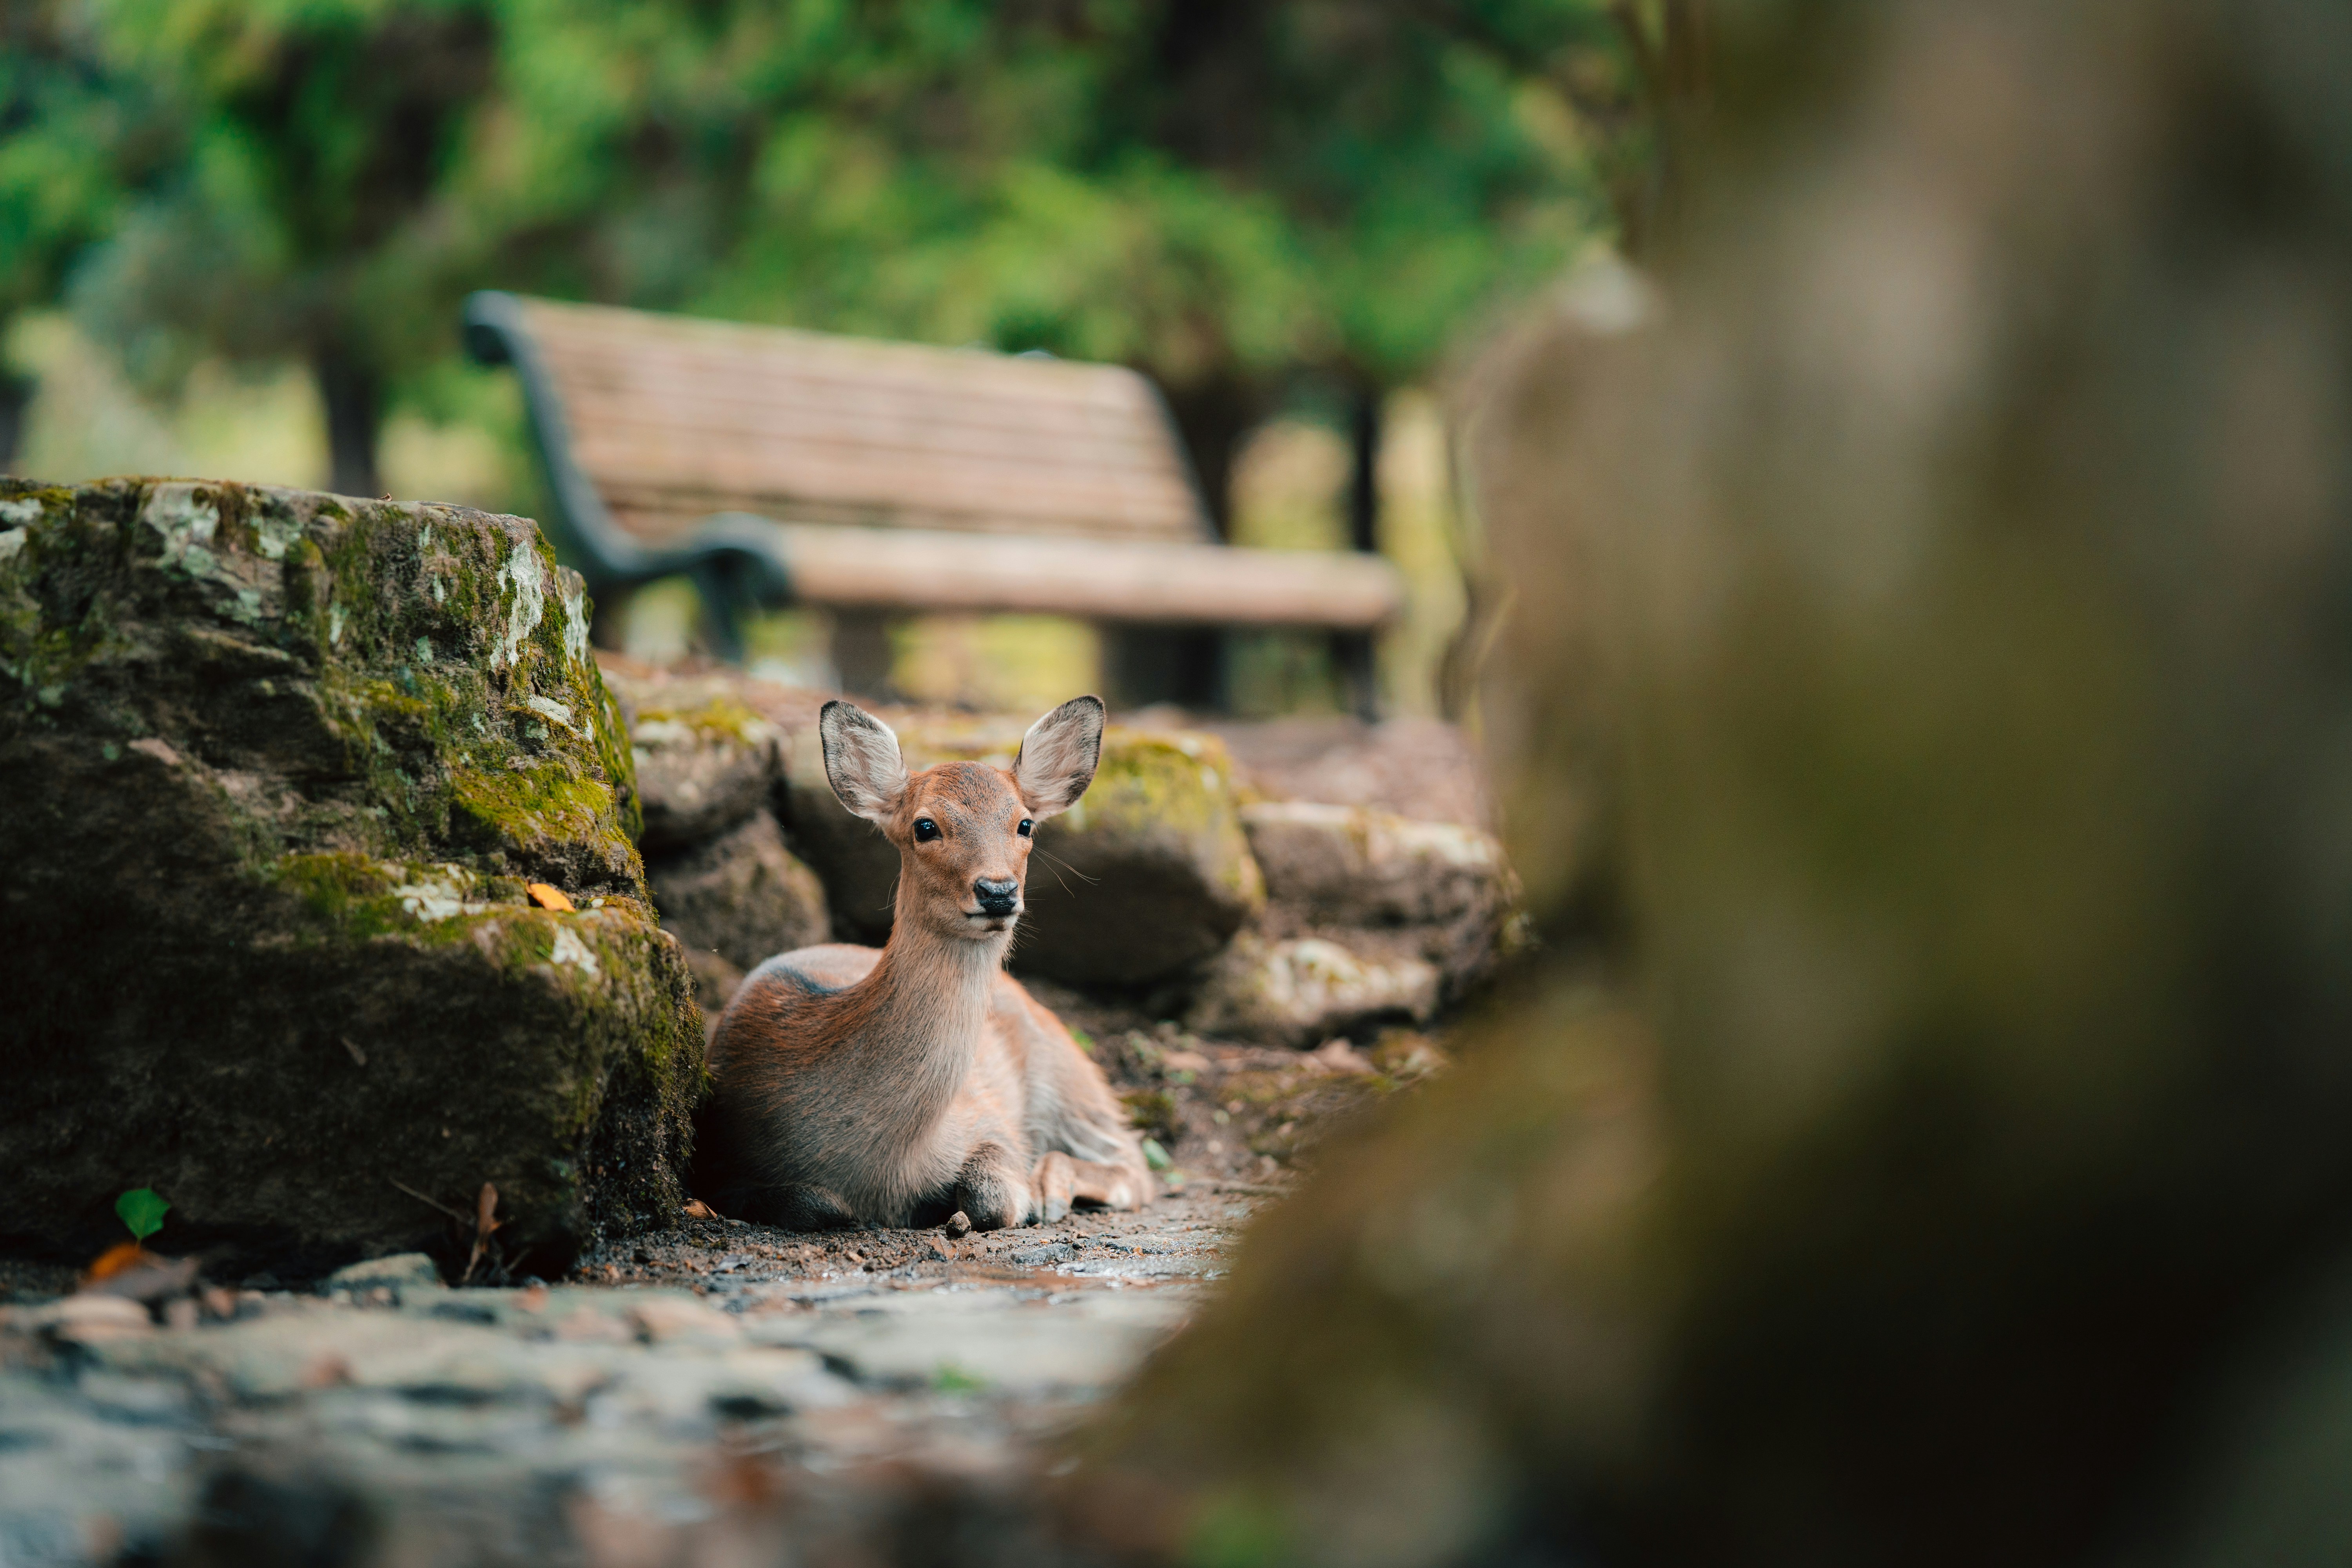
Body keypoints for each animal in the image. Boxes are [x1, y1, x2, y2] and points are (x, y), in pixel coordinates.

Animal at [693, 695, 1154, 1231]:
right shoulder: (720, 1162)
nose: (998, 891)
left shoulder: (989, 1117)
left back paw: (1051, 1189)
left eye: (1025, 824)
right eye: (925, 826)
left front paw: (1008, 1199)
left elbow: (993, 1196)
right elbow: (819, 1205)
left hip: (1068, 1071)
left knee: (1133, 1162)